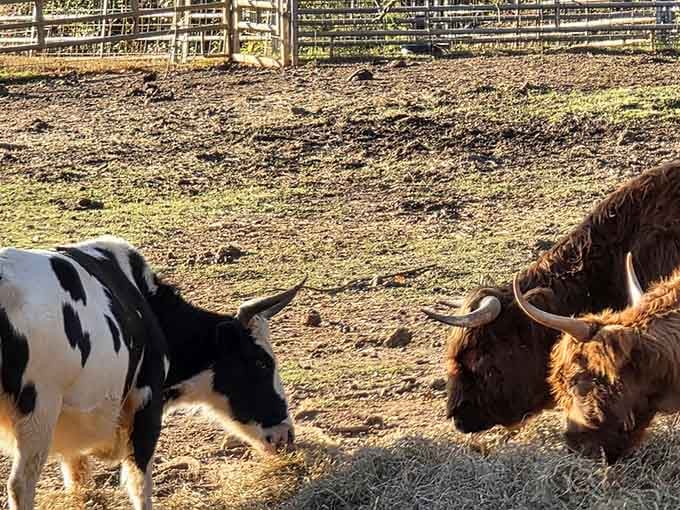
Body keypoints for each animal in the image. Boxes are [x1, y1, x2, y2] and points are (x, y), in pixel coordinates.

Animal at [0, 236, 303, 510]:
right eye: (262, 363)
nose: (286, 434)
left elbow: (78, 479)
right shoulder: (146, 403)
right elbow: (140, 482)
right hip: (39, 412)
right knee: (20, 485)